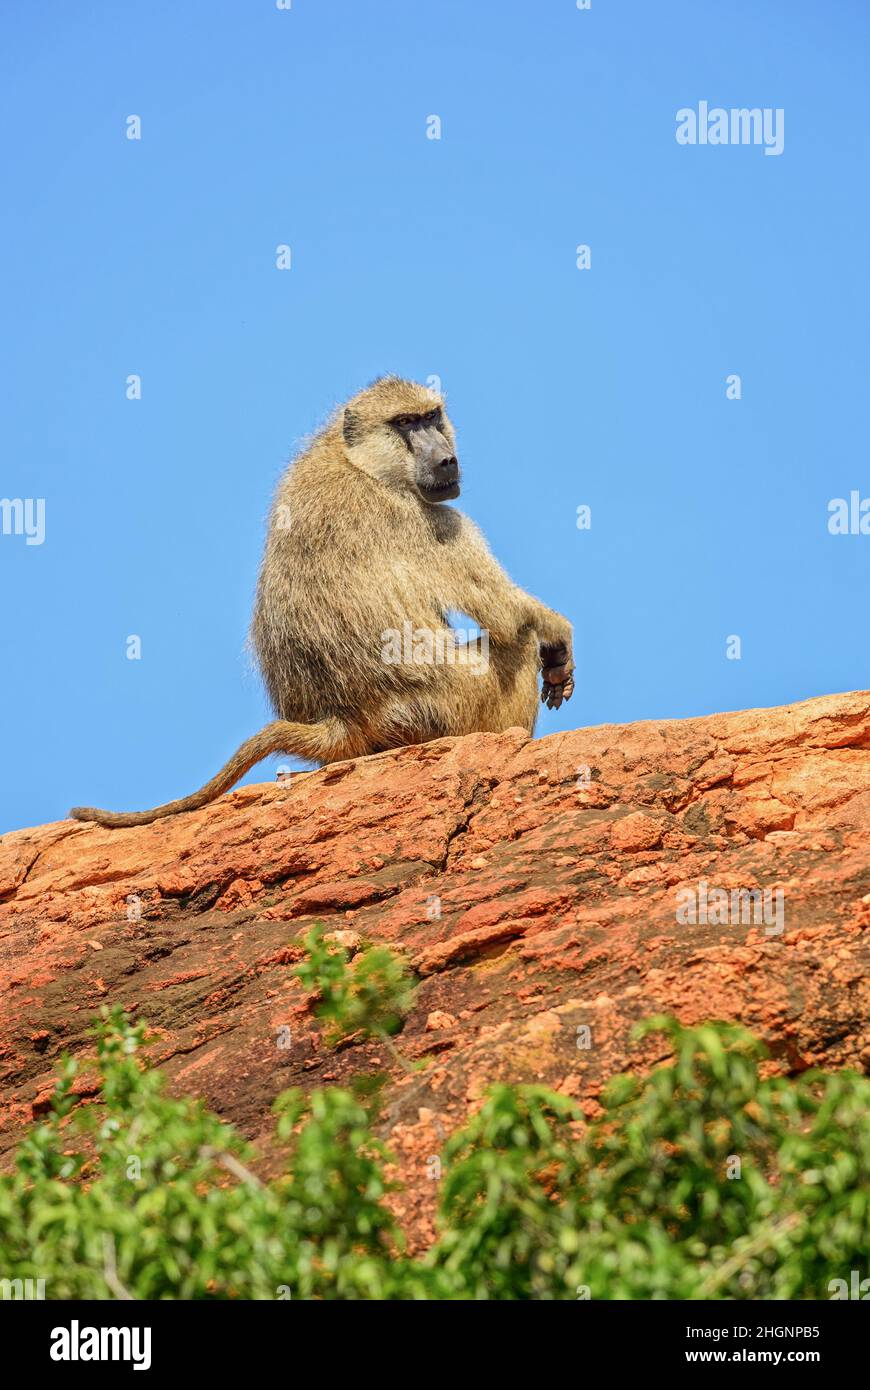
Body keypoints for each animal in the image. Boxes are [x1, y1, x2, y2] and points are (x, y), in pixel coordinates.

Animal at [71, 377, 574, 828]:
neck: (359, 461)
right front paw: (558, 641)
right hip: (454, 702)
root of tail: (343, 720)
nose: (446, 460)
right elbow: (510, 617)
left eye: (432, 418)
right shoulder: (435, 521)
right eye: (405, 423)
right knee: (514, 646)